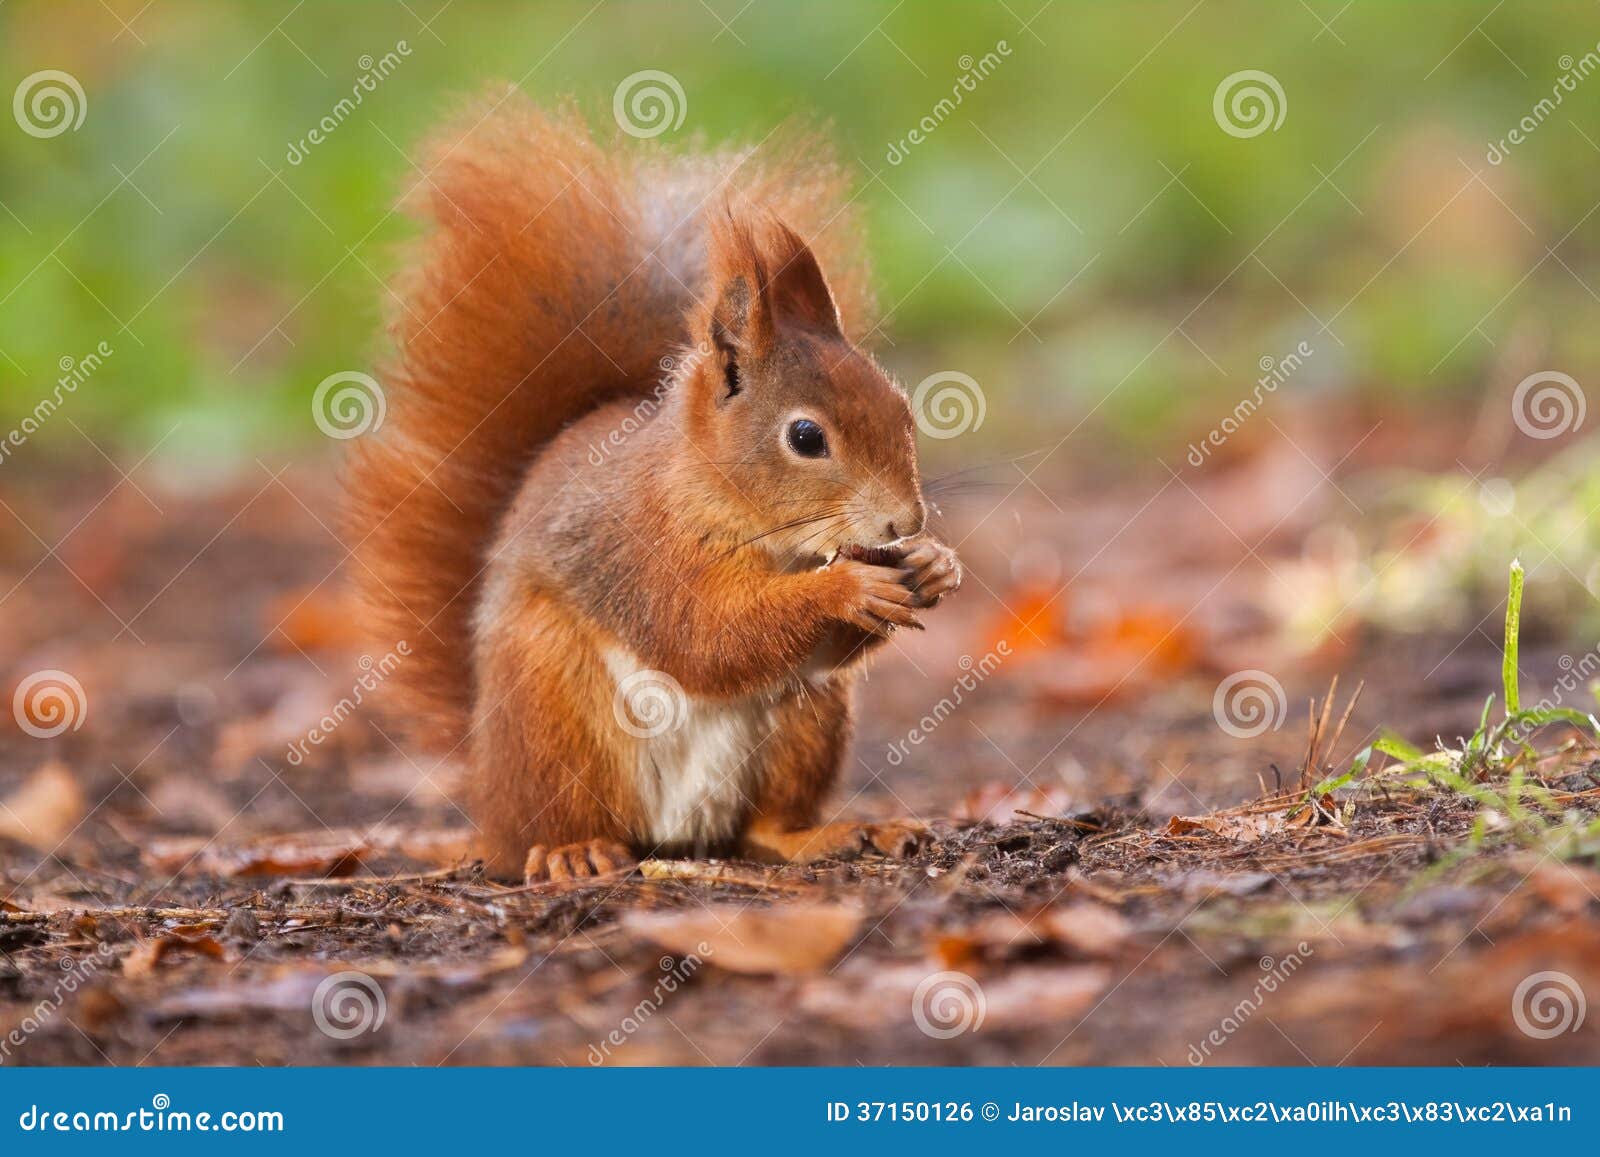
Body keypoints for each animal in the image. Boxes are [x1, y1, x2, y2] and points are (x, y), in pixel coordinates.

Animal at [344, 95, 962, 880]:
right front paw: (847, 587)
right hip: (549, 709)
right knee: (556, 818)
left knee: (762, 827)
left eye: (903, 409)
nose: (904, 522)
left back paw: (829, 834)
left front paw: (935, 565)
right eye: (805, 437)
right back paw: (572, 851)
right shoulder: (641, 547)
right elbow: (703, 634)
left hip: (806, 720)